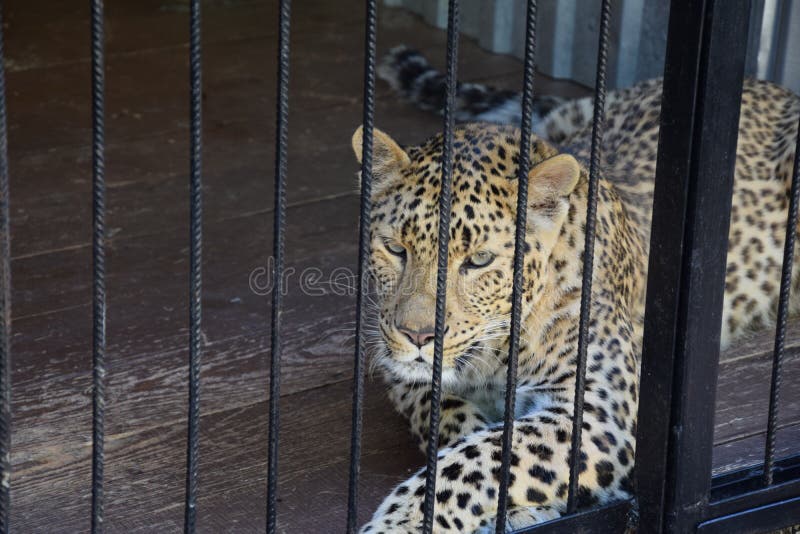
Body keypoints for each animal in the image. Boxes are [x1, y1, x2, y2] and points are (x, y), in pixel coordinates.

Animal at [353, 46, 800, 533]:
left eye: (479, 260)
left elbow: (477, 461)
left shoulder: (599, 413)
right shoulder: (404, 376)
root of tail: (768, 85)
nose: (418, 336)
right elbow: (457, 430)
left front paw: (397, 522)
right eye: (395, 248)